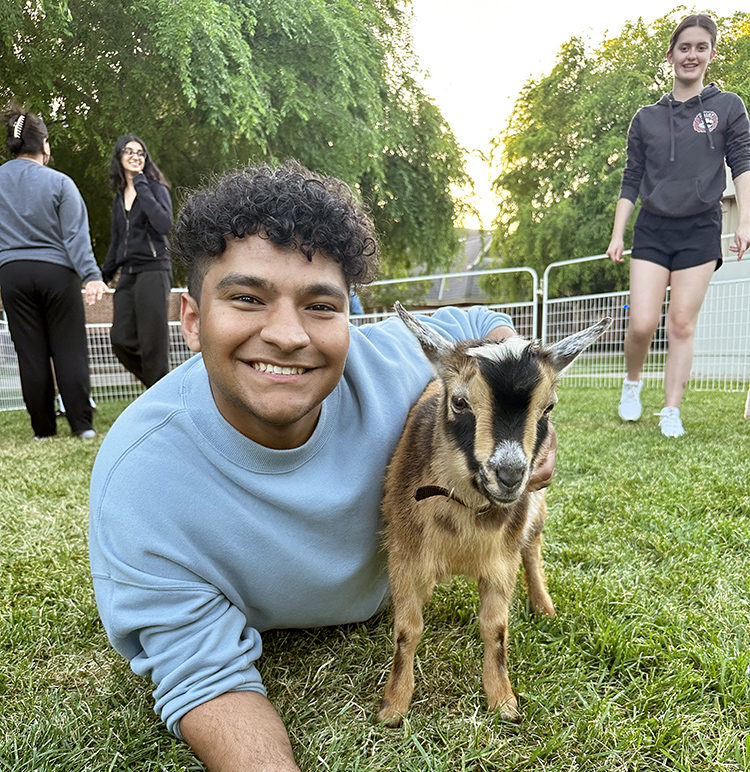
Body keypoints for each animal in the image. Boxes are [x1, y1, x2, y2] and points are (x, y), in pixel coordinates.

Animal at [377, 303, 611, 727]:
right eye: (459, 402)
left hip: (537, 508)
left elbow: (496, 630)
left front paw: (503, 702)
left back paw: (543, 607)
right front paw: (394, 706)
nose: (510, 475)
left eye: (549, 407)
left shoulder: (501, 561)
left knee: (533, 550)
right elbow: (407, 630)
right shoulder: (405, 556)